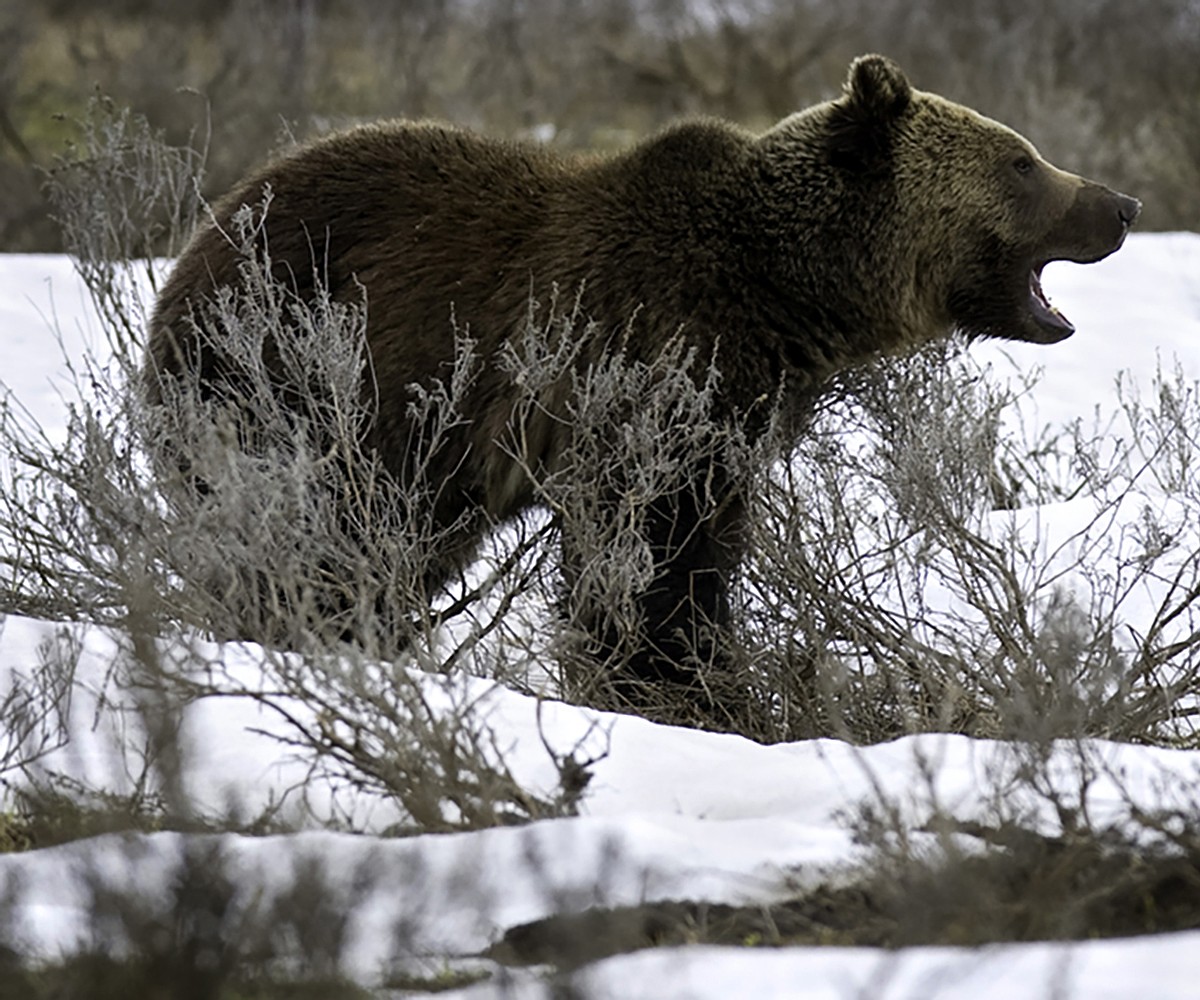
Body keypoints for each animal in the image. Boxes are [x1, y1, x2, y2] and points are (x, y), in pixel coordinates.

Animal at [145, 54, 1139, 713]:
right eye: (1021, 160)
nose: (1121, 203)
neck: (783, 292)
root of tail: (206, 227)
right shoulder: (646, 365)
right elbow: (651, 550)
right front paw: (677, 684)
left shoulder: (736, 408)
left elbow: (700, 539)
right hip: (285, 374)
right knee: (306, 529)